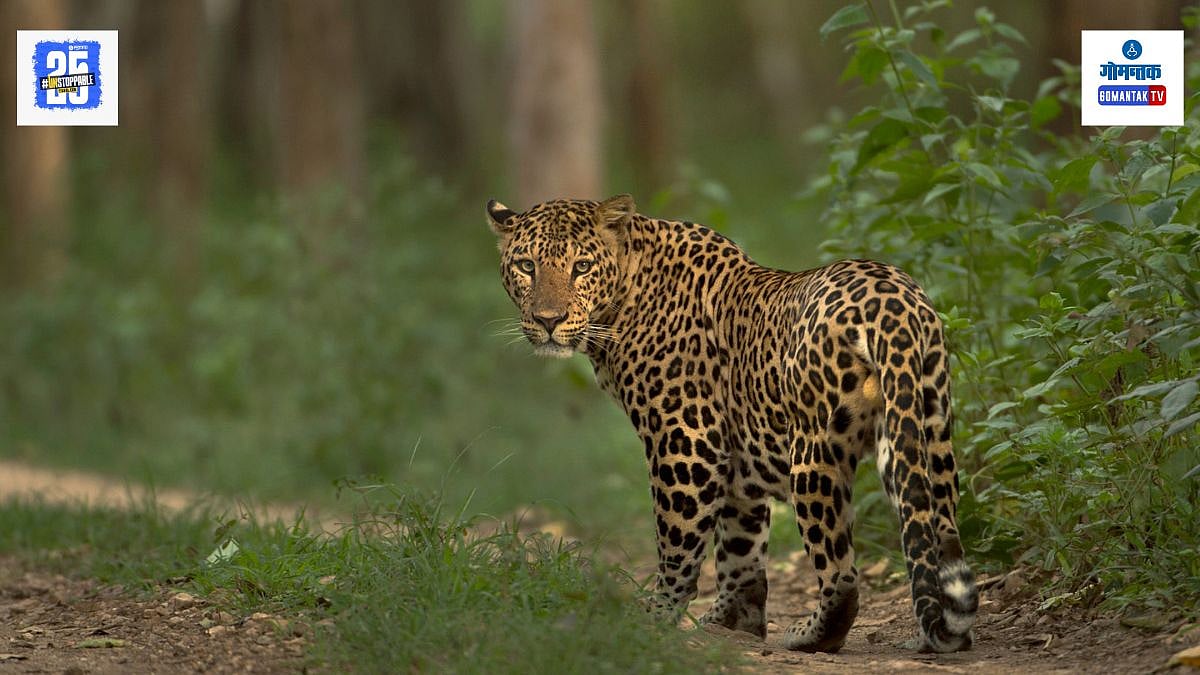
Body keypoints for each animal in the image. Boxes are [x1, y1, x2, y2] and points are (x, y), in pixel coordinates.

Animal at [485, 194, 978, 653]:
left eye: (581, 266)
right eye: (527, 266)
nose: (548, 321)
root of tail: (894, 304)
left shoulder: (686, 441)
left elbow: (678, 541)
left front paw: (655, 616)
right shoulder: (740, 457)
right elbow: (741, 544)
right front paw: (732, 622)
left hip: (814, 452)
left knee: (841, 573)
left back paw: (811, 635)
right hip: (925, 430)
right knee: (936, 529)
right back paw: (940, 632)